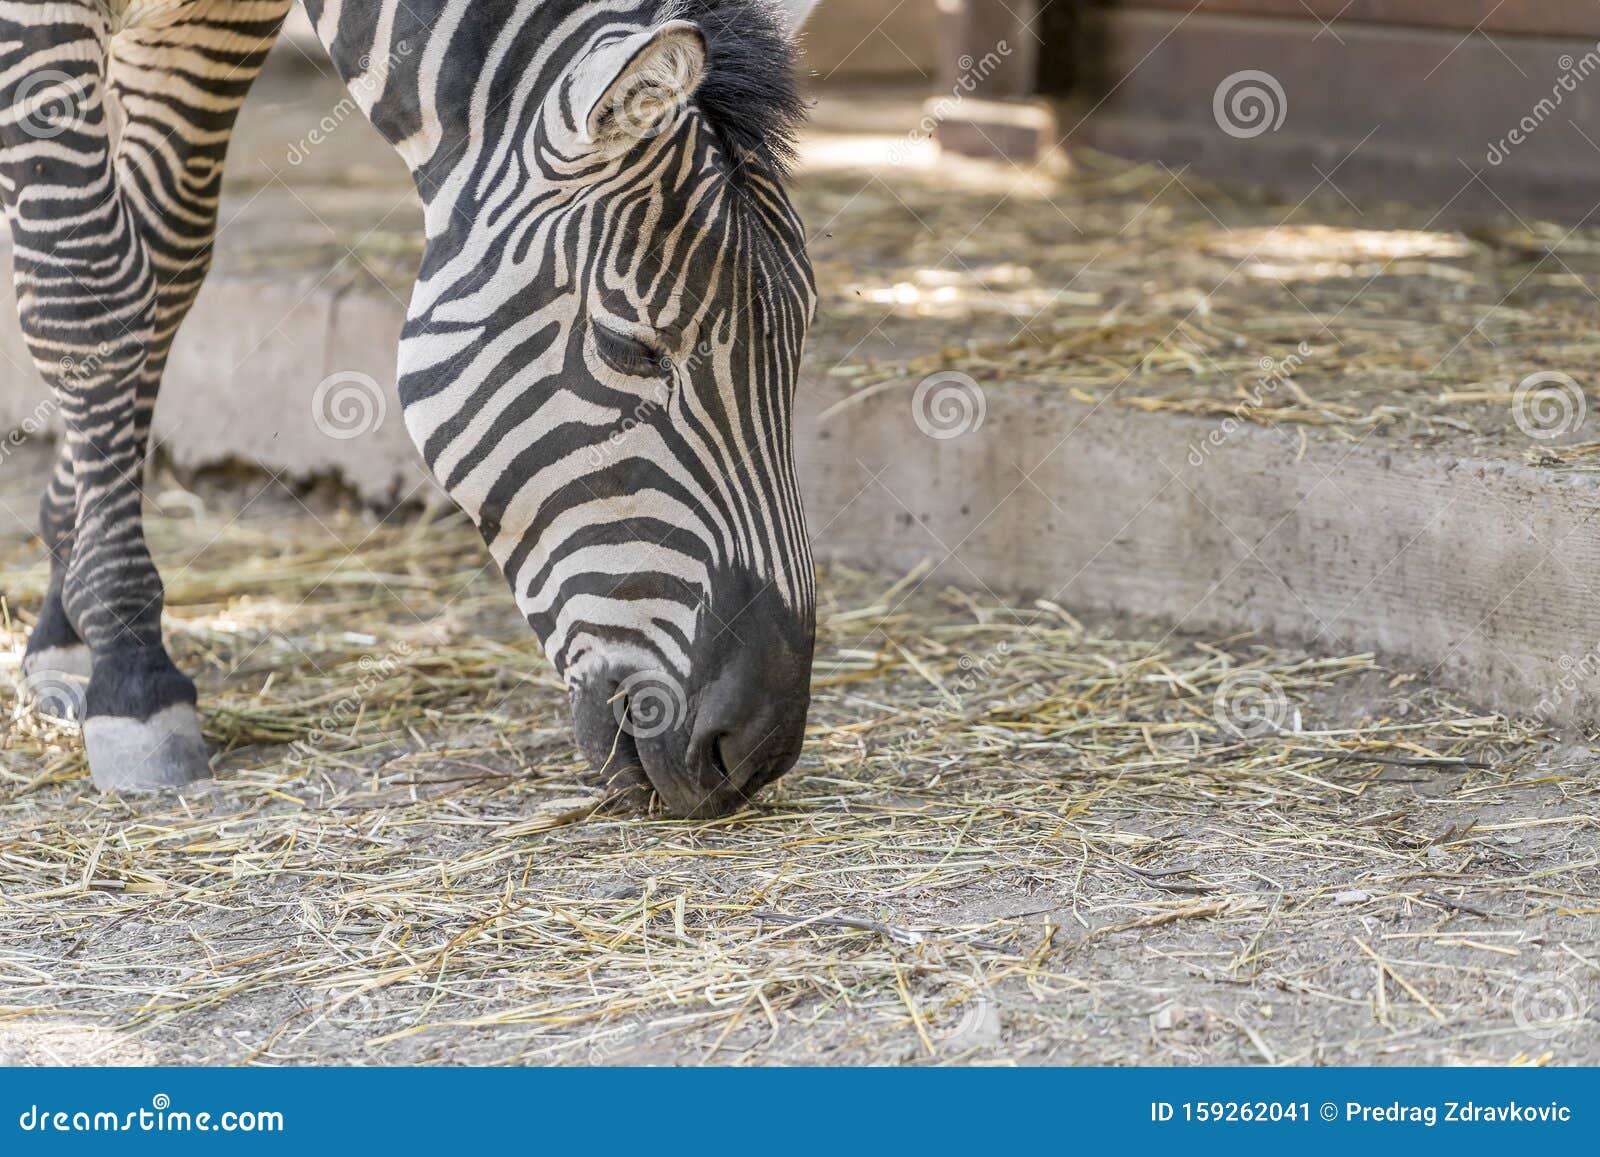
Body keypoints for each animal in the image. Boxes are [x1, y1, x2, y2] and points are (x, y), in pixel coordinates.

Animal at [2, 0, 821, 818]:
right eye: (631, 347)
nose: (758, 748)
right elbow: (90, 290)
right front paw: (130, 663)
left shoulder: (216, 23)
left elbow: (162, 264)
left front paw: (72, 606)